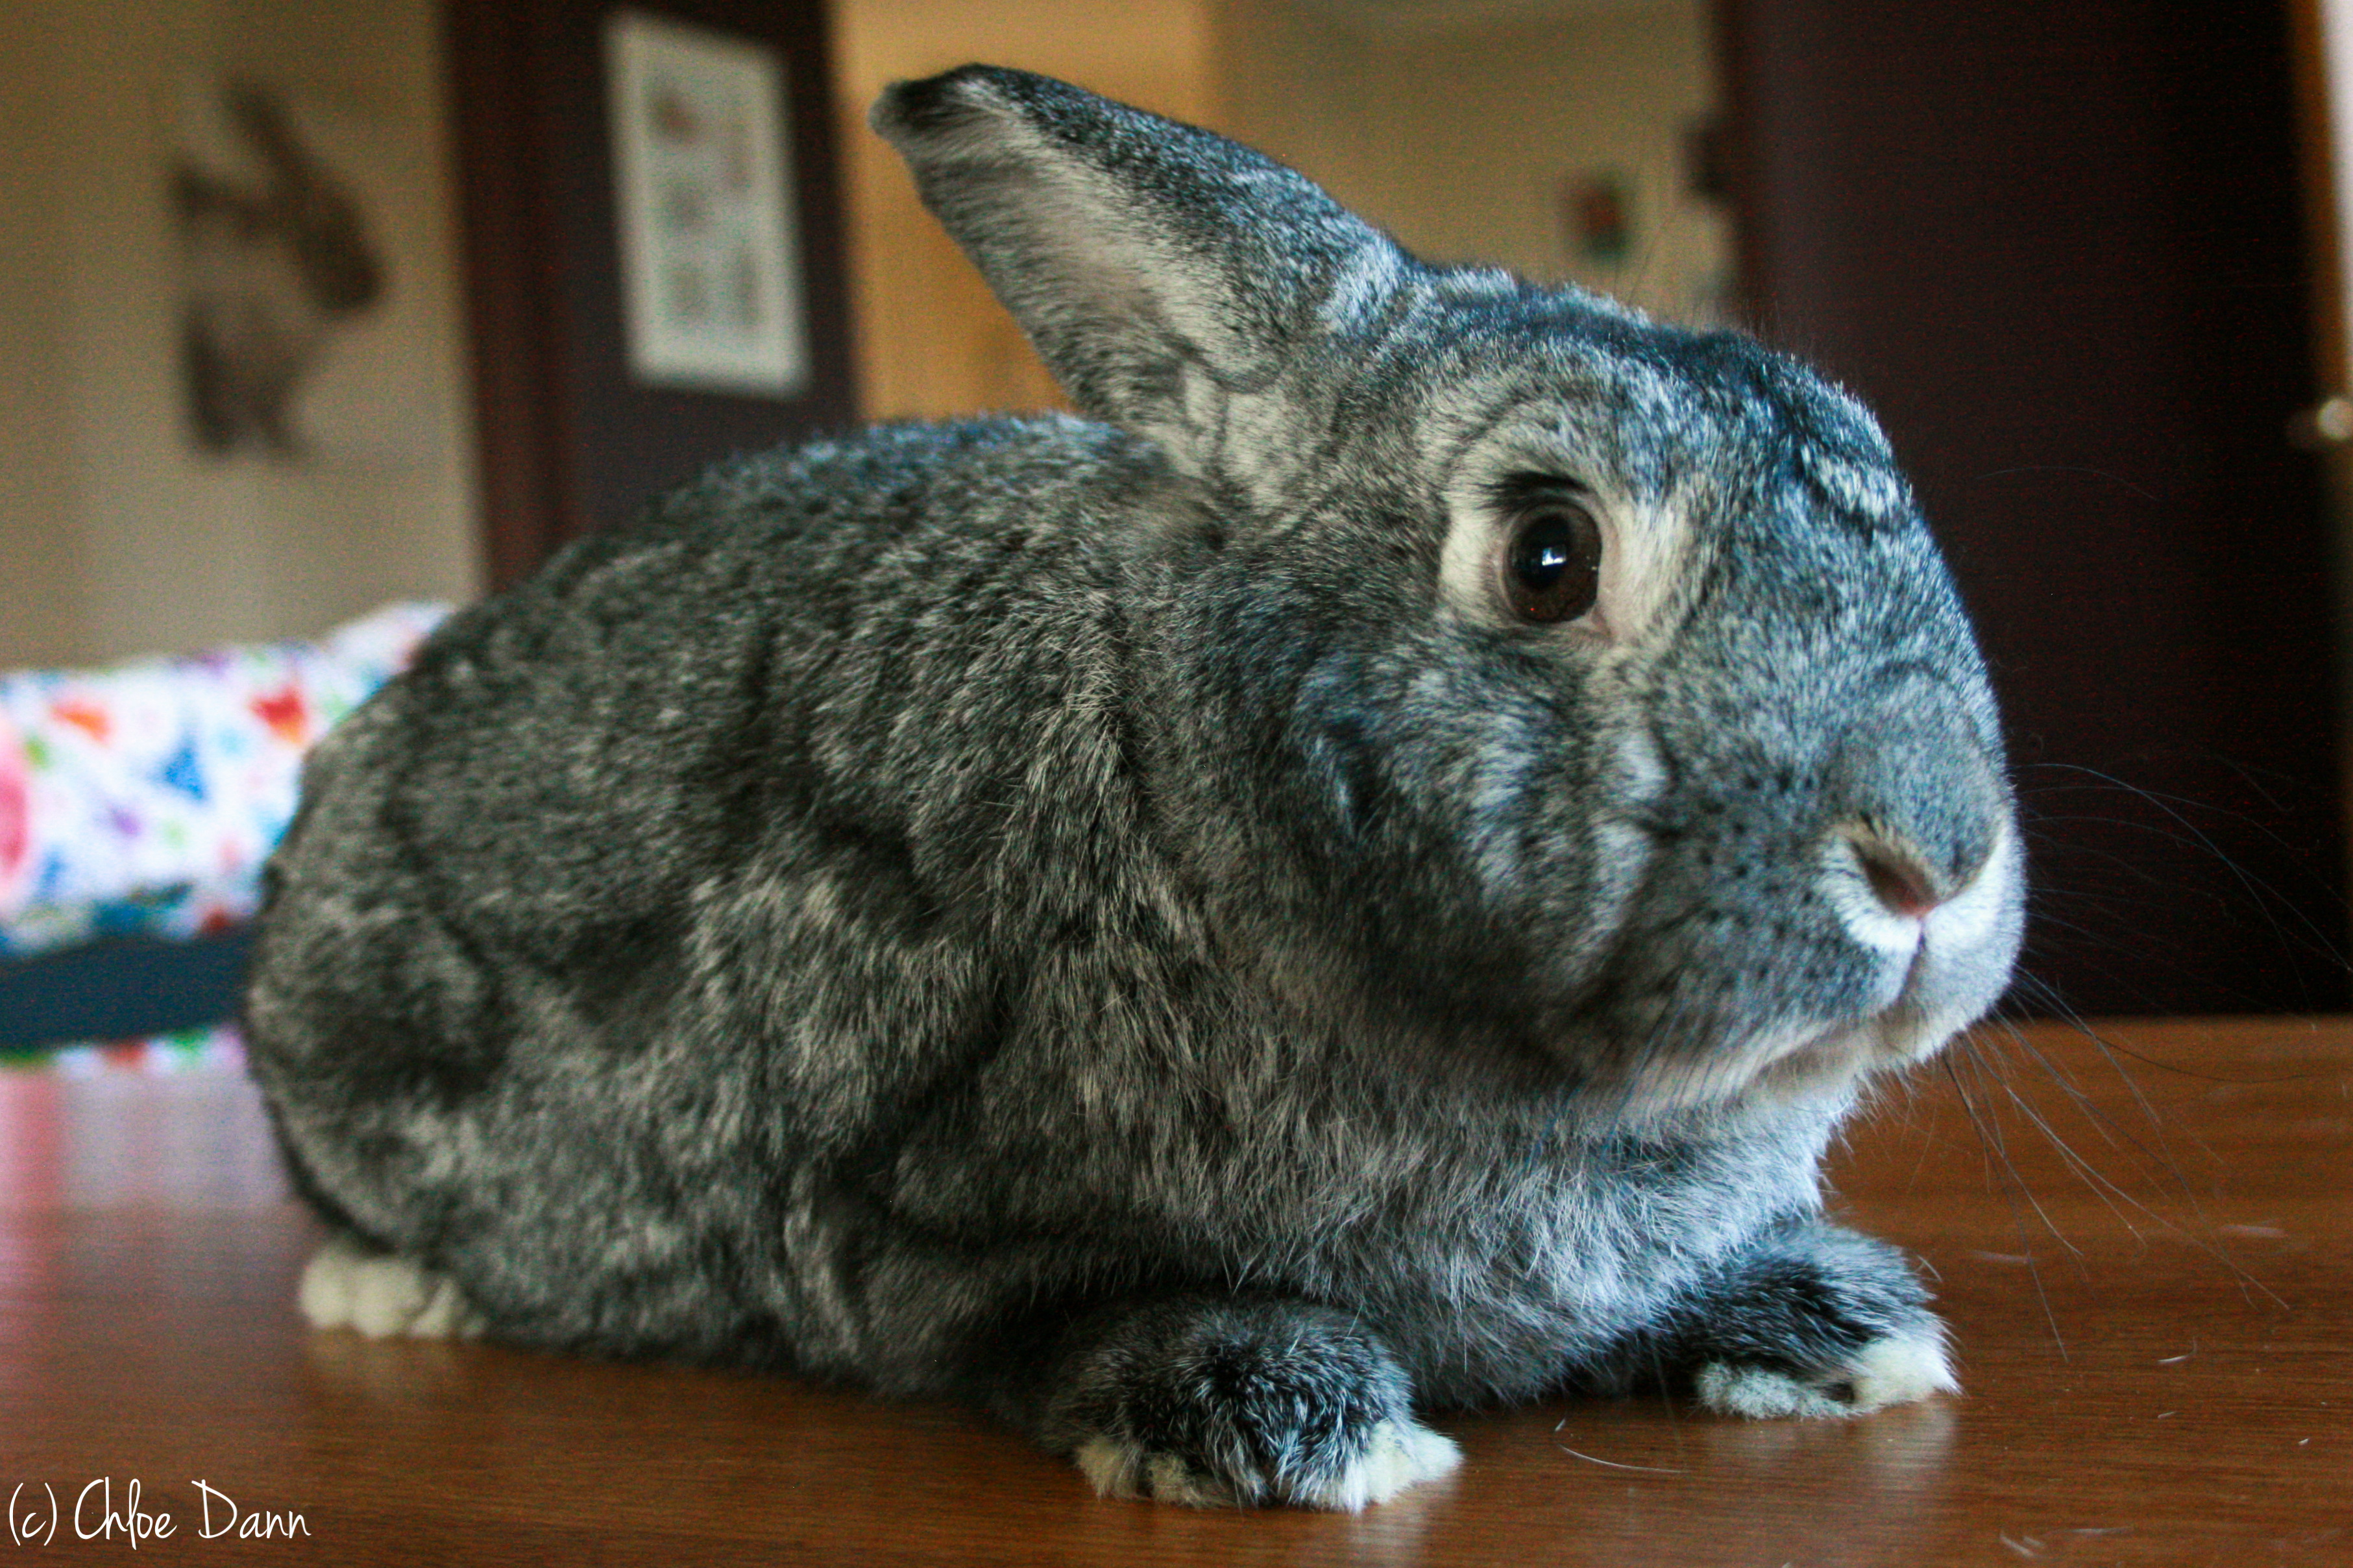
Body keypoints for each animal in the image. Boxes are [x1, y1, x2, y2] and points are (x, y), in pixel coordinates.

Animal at [244, 65, 2025, 1511]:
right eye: (1546, 555)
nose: (1934, 854)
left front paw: (1836, 1330)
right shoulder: (915, 1213)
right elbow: (1069, 1318)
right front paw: (1295, 1424)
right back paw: (399, 1291)